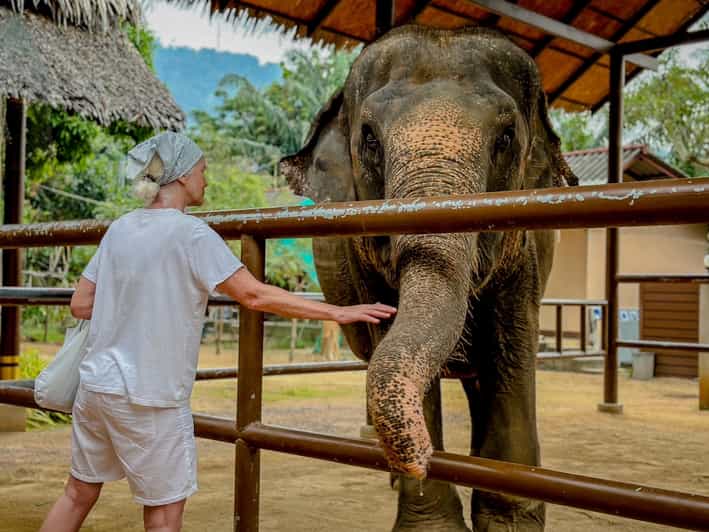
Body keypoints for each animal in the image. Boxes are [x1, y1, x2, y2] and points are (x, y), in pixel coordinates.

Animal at [280, 25, 577, 531]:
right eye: (370, 139)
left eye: (505, 137)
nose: (416, 457)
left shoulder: (527, 255)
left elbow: (511, 352)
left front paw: (508, 519)